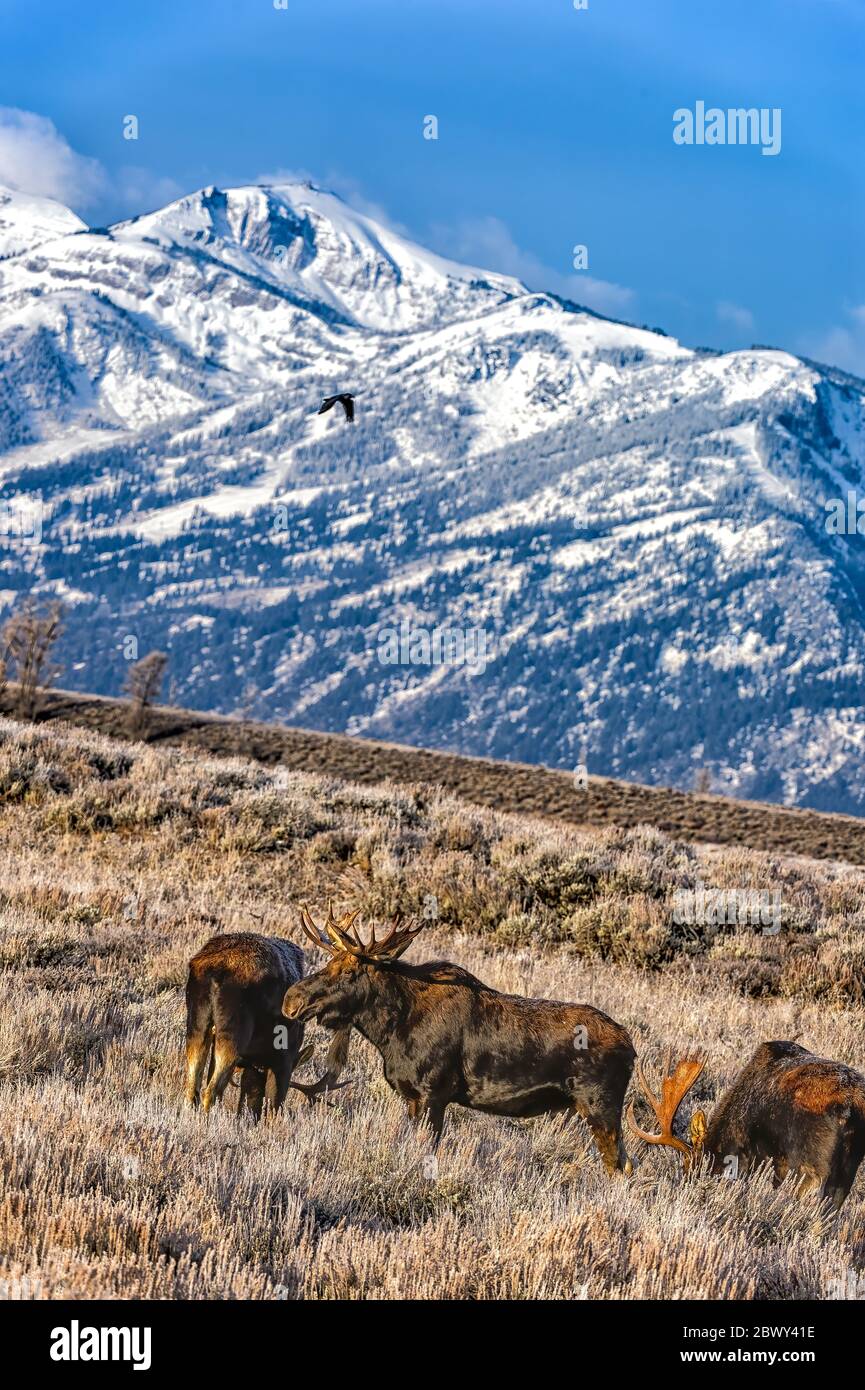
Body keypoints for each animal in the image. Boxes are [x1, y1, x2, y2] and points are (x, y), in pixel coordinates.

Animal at [185, 932, 349, 1118]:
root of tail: (215, 971)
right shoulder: (283, 1058)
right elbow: (274, 1106)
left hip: (197, 1023)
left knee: (192, 1087)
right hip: (234, 1032)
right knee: (211, 1091)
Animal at [281, 905, 636, 1172]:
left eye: (349, 971)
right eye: (329, 962)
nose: (291, 1000)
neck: (390, 1031)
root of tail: (631, 1048)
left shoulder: (433, 1095)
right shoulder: (413, 1098)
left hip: (600, 1106)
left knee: (619, 1166)